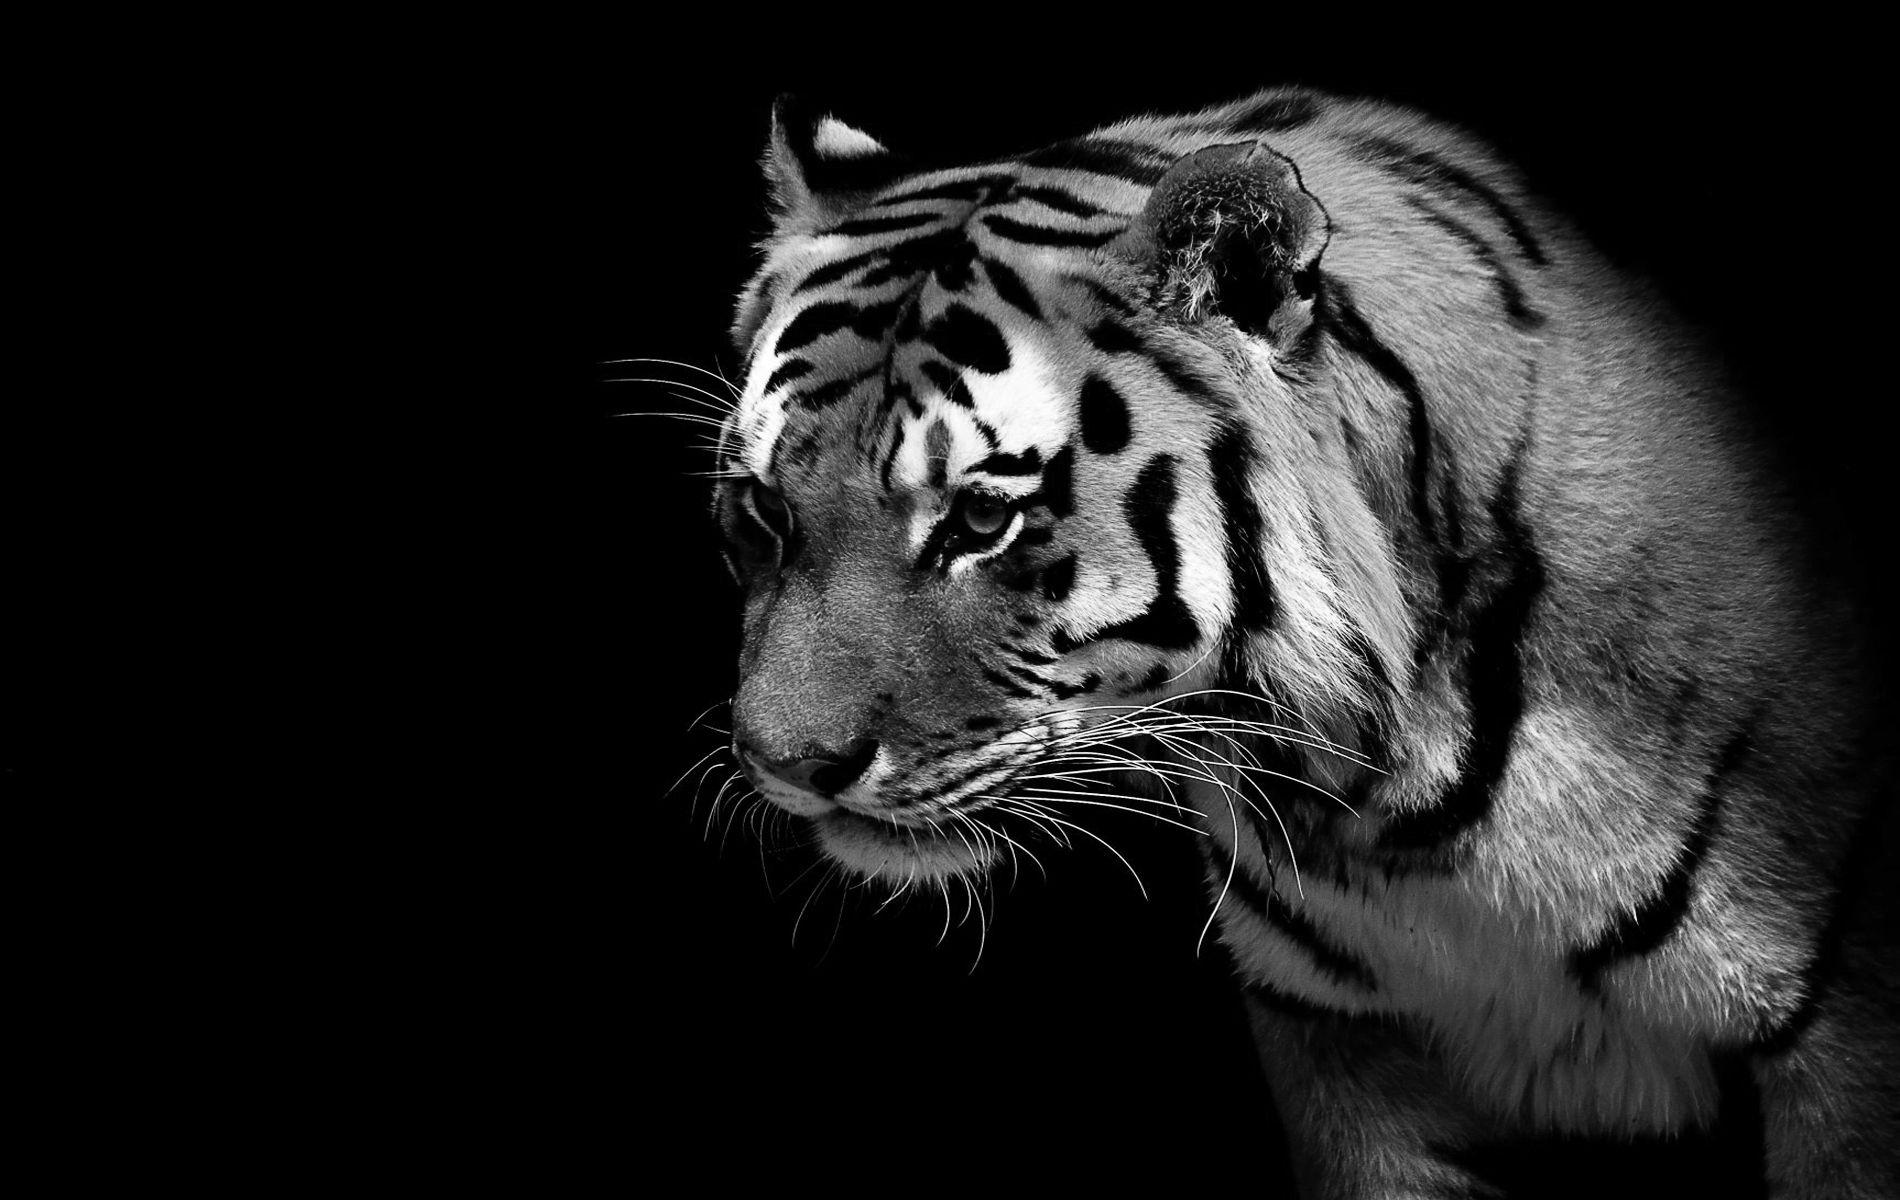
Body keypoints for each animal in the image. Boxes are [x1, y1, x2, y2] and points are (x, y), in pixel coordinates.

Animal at [705, 88, 1897, 1198]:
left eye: (980, 518)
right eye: (764, 509)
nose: (786, 766)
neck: (1386, 806)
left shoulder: (1839, 1038)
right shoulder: (1338, 1039)